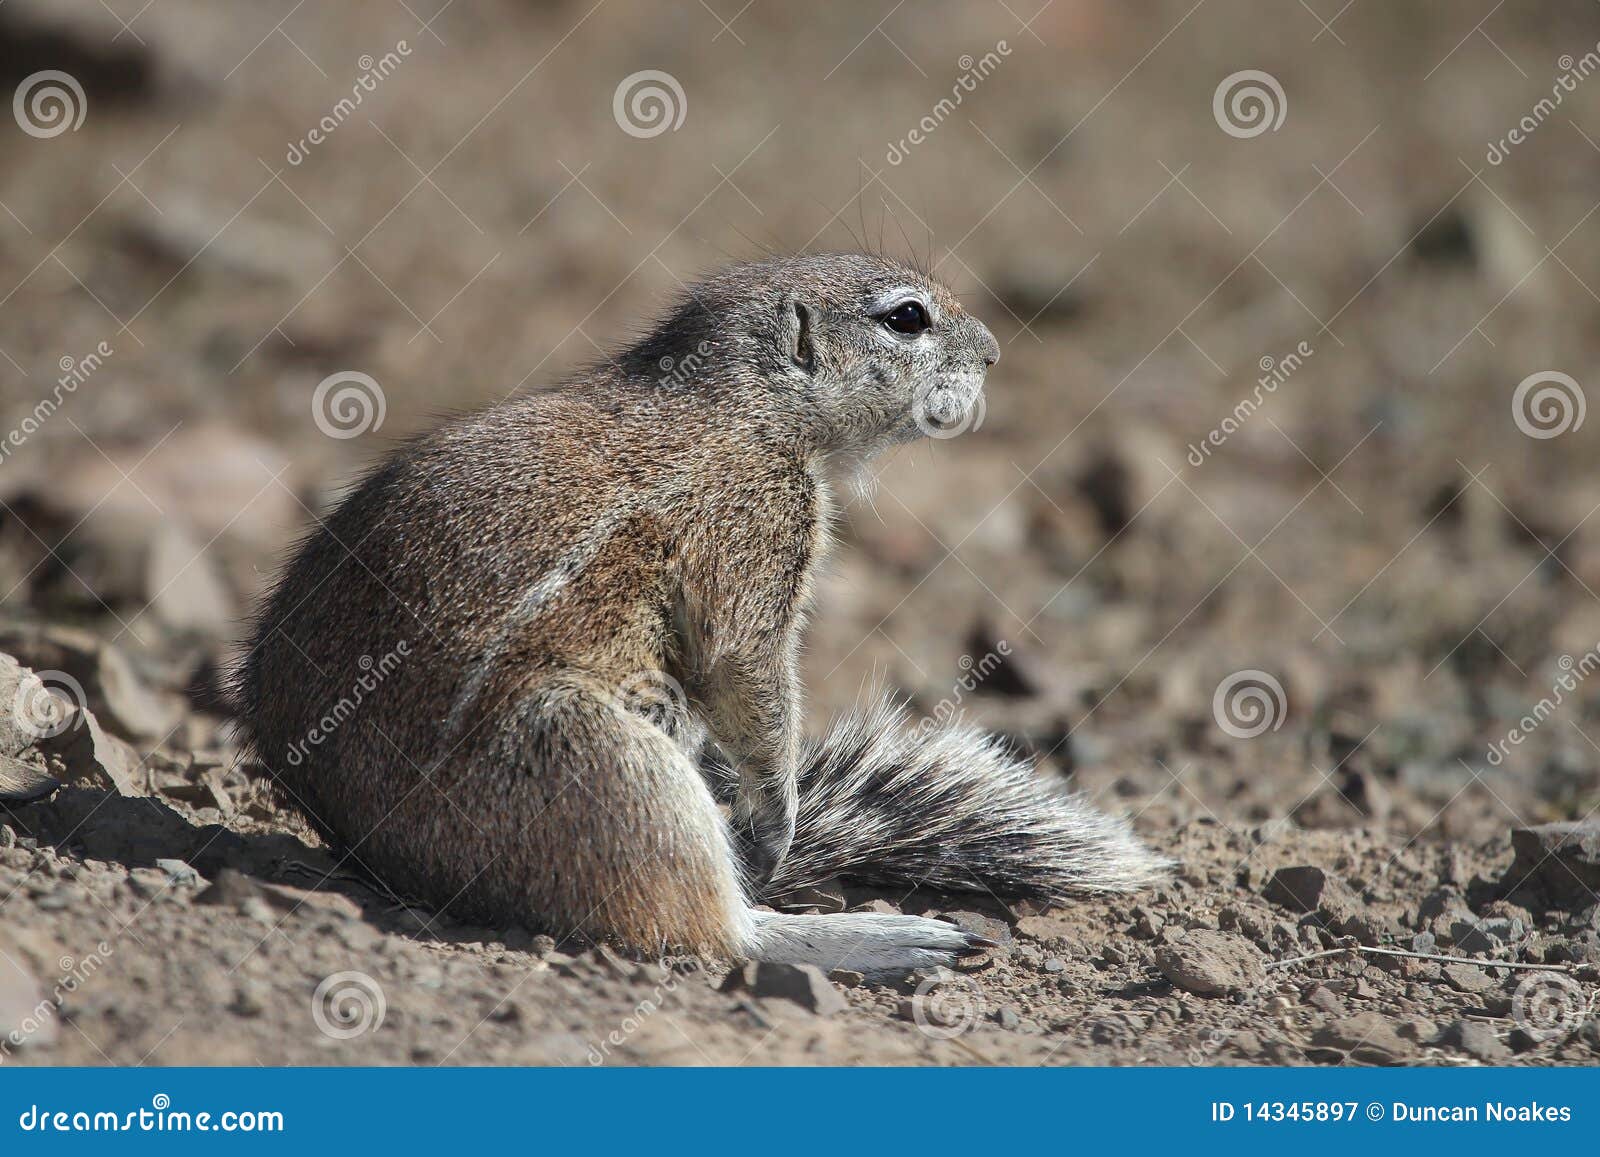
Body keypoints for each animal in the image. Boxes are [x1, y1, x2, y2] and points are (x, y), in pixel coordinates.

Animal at [235, 253, 1167, 977]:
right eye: (908, 318)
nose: (996, 352)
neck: (740, 405)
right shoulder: (759, 526)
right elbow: (746, 670)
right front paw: (777, 813)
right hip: (598, 760)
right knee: (713, 932)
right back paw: (876, 935)